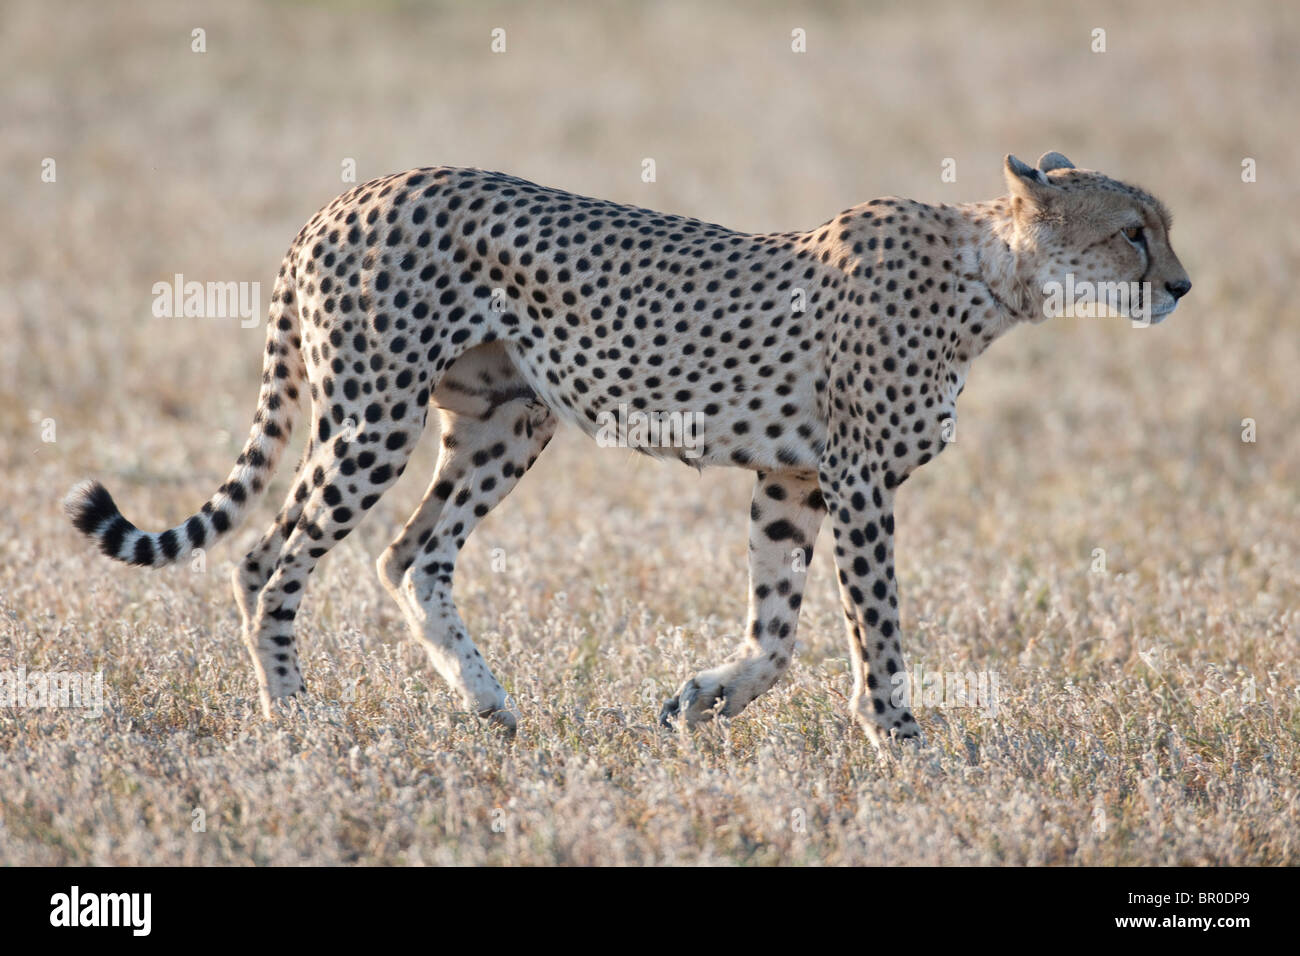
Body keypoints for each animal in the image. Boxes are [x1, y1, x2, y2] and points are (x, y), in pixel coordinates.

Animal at [65, 151, 1190, 745]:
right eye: (1132, 230)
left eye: (1161, 226)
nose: (1182, 286)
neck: (991, 278)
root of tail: (352, 193)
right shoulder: (858, 480)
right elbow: (876, 627)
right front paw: (903, 745)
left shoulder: (789, 479)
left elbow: (776, 632)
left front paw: (703, 699)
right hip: (372, 415)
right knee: (268, 555)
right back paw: (294, 715)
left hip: (505, 420)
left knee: (409, 554)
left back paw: (487, 704)